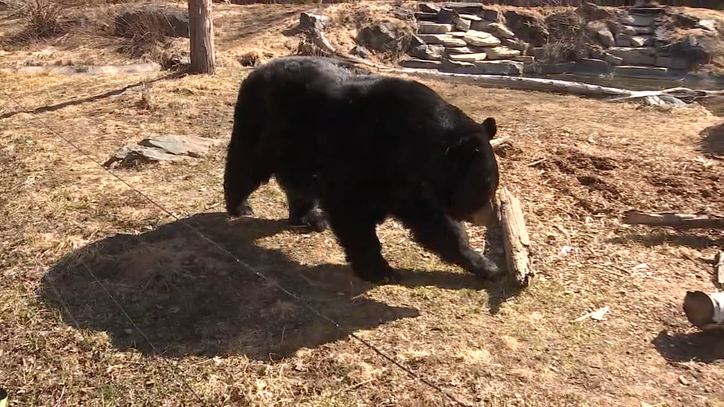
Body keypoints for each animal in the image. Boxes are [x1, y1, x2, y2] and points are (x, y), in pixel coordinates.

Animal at [224, 55, 502, 284]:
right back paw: (240, 206)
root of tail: (257, 70)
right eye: (486, 187)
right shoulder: (364, 155)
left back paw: (310, 217)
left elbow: (436, 224)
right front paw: (381, 270)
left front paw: (486, 266)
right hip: (262, 123)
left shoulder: (411, 184)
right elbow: (352, 210)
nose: (492, 216)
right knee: (246, 162)